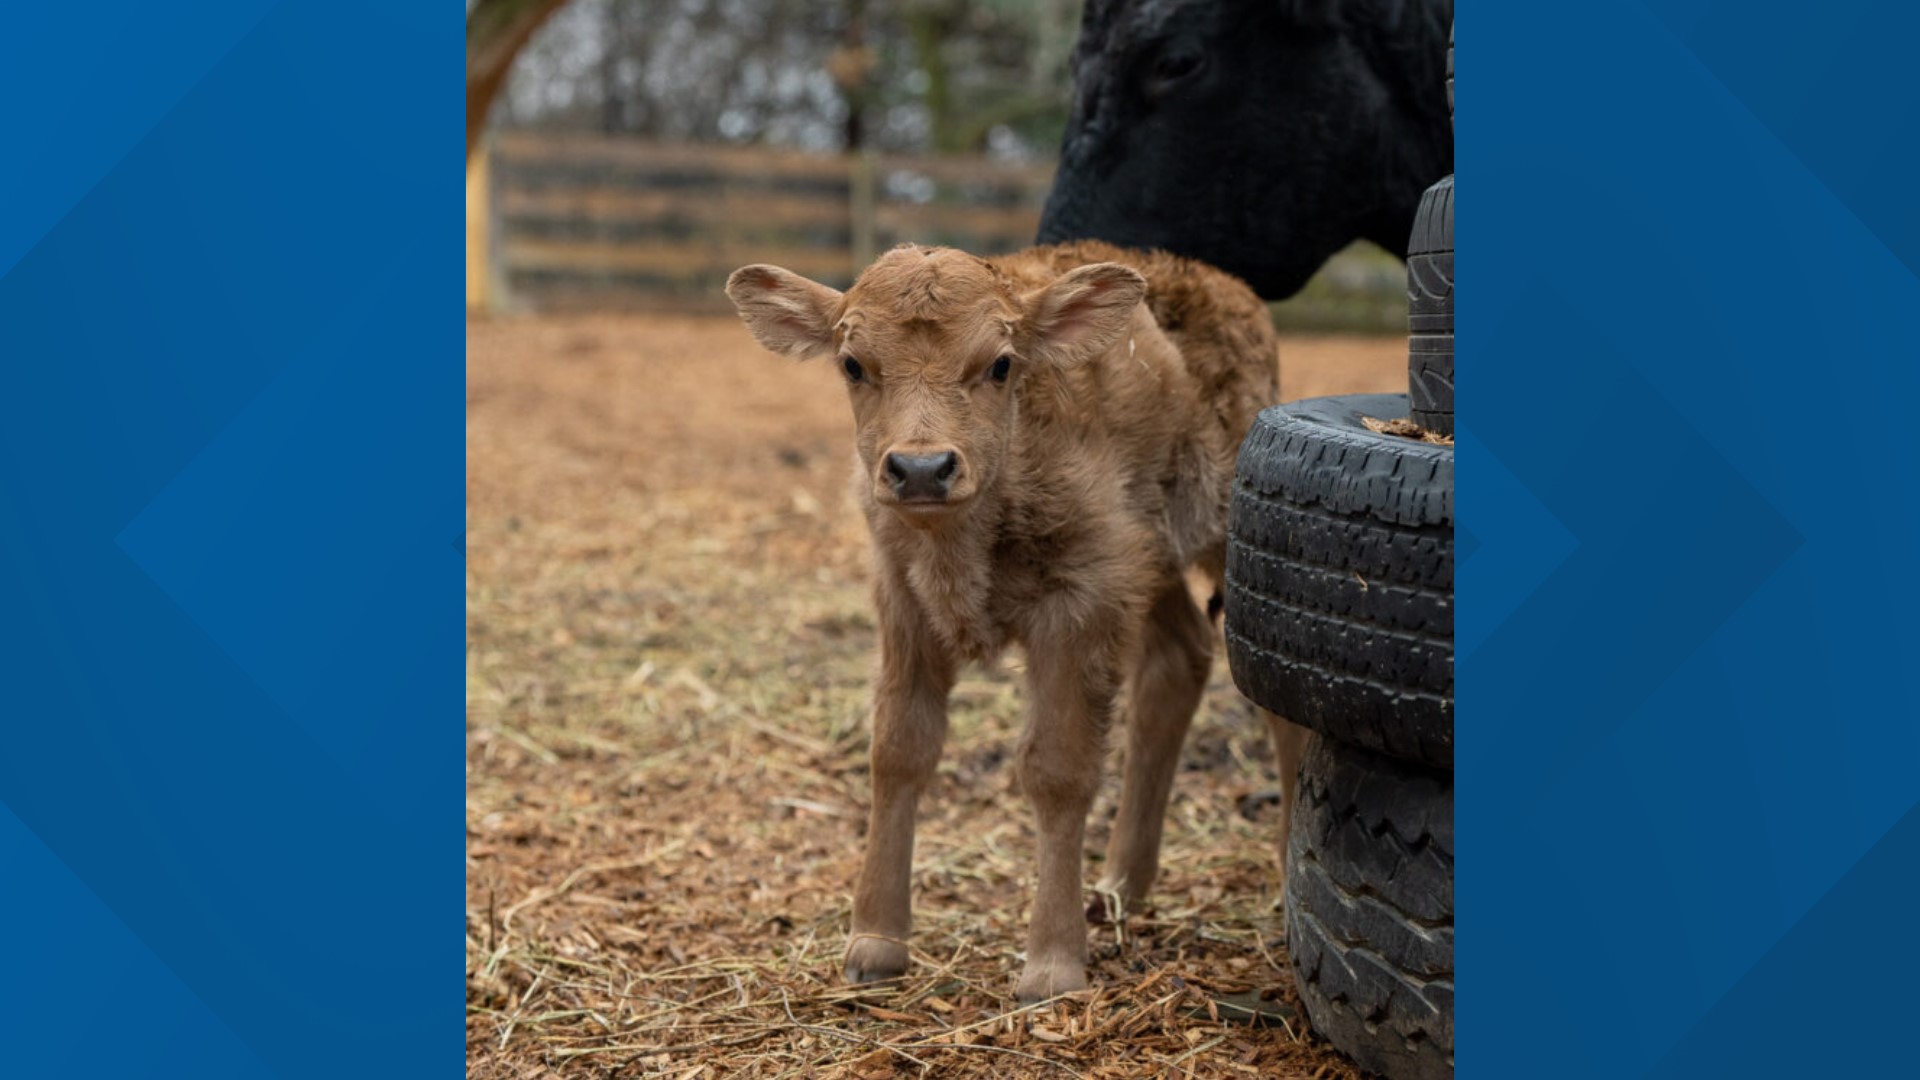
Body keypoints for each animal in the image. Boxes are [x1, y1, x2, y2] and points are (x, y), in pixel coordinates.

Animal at [726, 241, 1310, 1002]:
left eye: (1001, 364)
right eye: (852, 364)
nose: (921, 468)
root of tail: (1230, 293)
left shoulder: (1081, 604)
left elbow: (1057, 770)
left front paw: (1053, 963)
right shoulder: (904, 603)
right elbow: (899, 750)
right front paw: (875, 943)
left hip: (1228, 545)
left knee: (1277, 695)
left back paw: (1283, 873)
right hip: (1149, 564)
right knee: (1177, 662)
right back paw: (1121, 886)